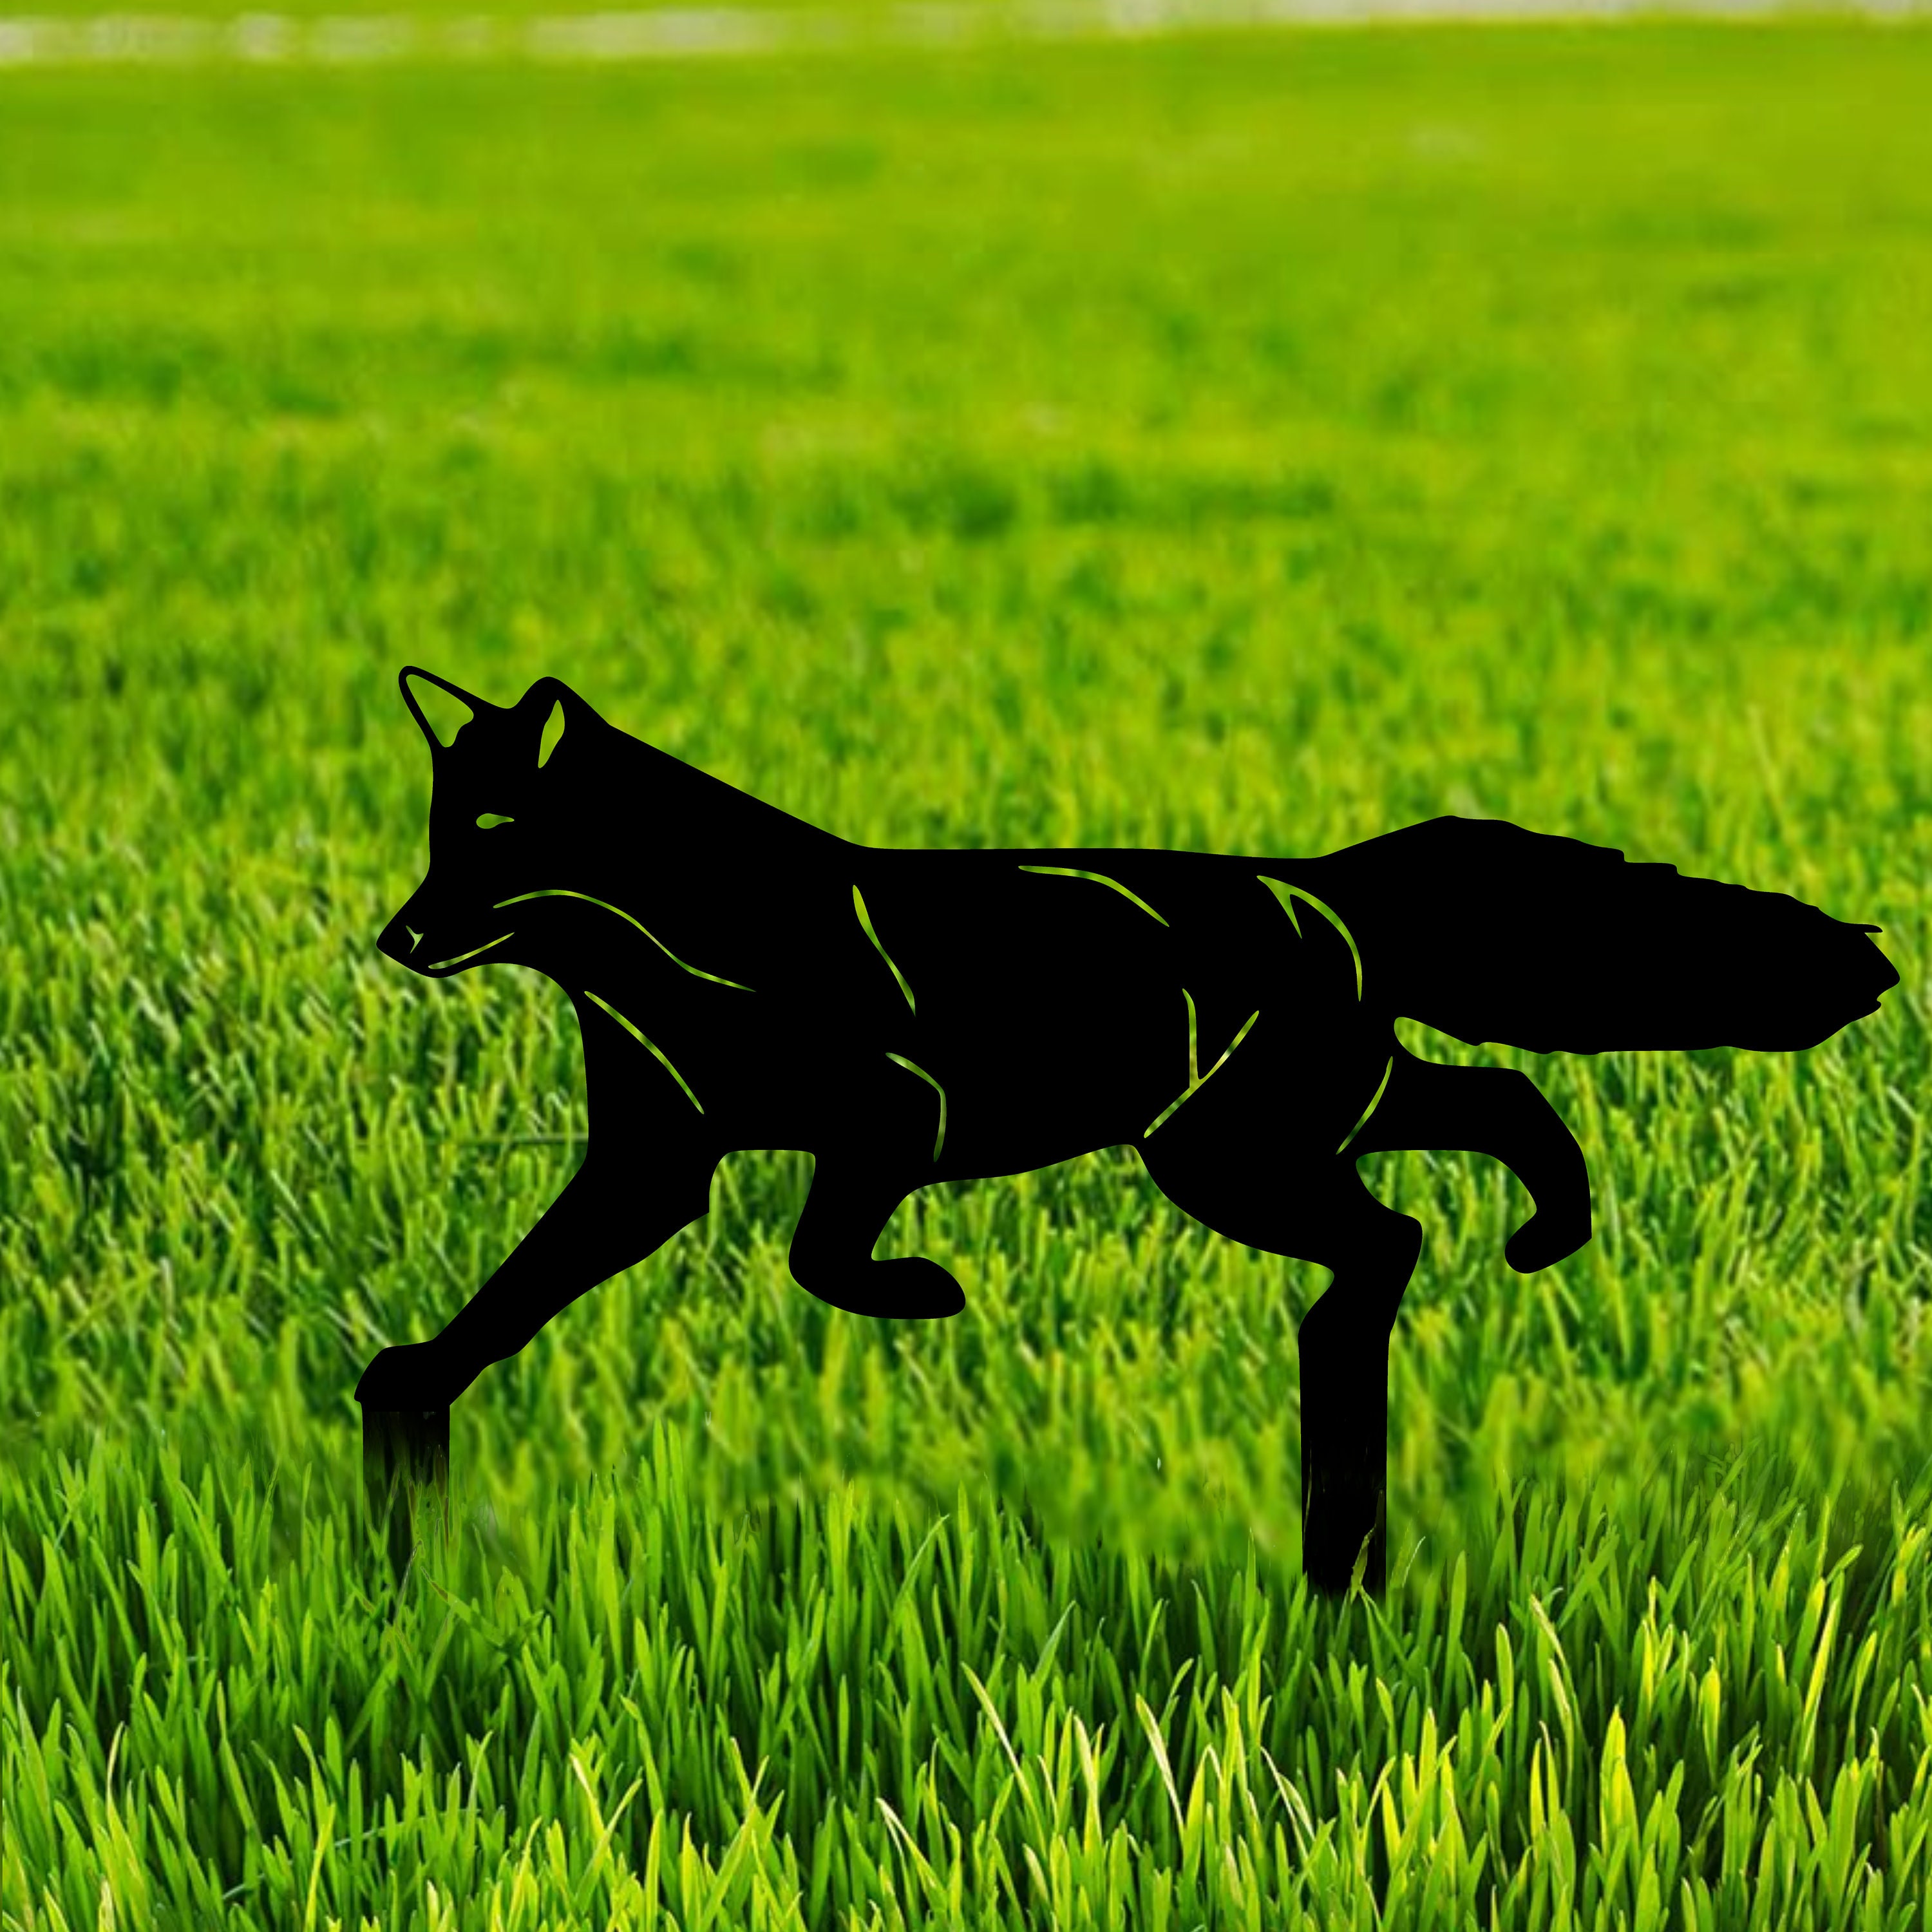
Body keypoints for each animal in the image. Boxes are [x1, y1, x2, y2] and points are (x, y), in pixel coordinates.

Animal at [355, 666, 1899, 1593]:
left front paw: (925, 1295)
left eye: (491, 829)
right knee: (1493, 1115)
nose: (398, 938)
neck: (664, 958)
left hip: (1231, 1153)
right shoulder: (652, 1166)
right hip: (1304, 1121)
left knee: (1401, 1223)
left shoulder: (893, 1116)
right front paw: (414, 1381)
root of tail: (1320, 875)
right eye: (438, 831)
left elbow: (820, 1253)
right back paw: (1546, 1235)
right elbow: (514, 1300)